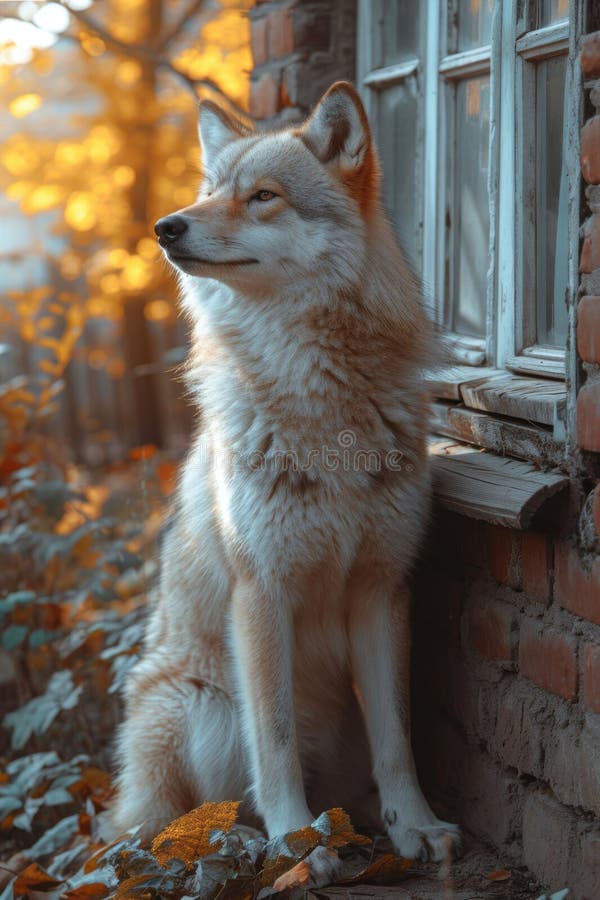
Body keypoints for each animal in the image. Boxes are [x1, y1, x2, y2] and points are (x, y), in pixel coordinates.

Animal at [113, 81, 460, 884]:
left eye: (262, 196)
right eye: (210, 190)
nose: (166, 226)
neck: (319, 399)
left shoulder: (381, 590)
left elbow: (399, 736)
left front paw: (416, 827)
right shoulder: (260, 593)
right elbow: (271, 741)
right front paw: (297, 845)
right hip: (199, 711)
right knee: (176, 830)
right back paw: (246, 844)